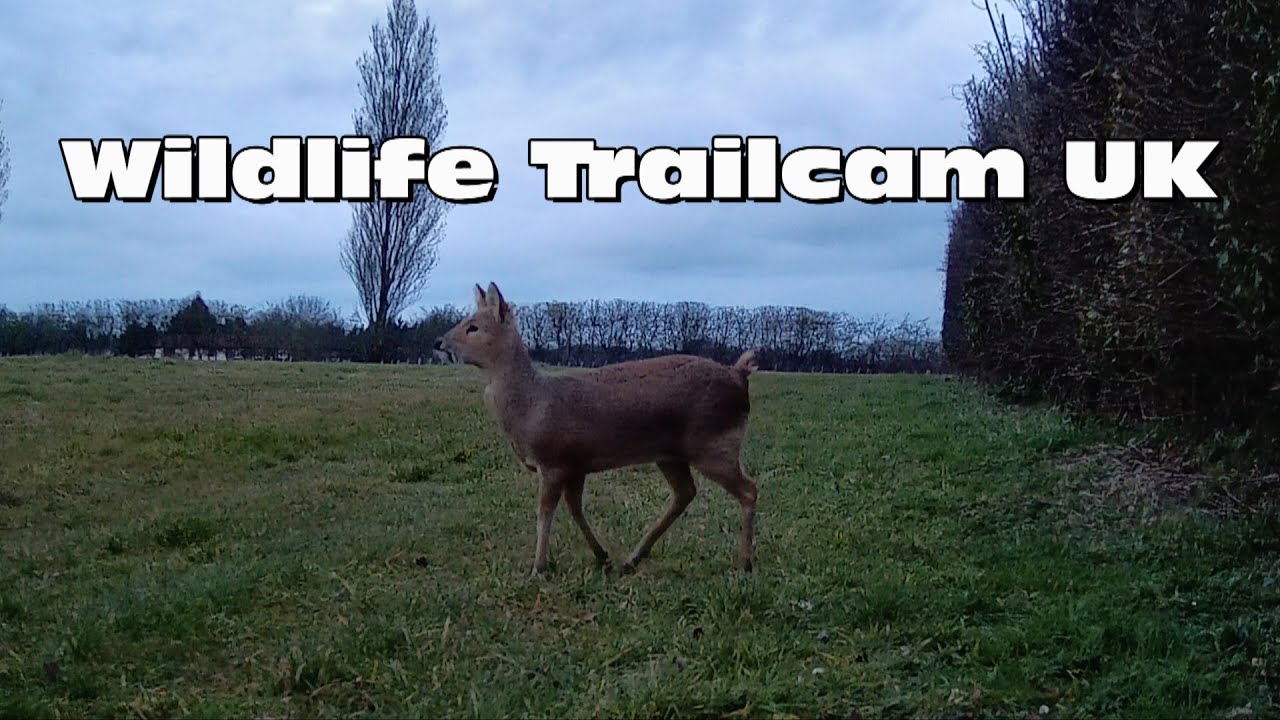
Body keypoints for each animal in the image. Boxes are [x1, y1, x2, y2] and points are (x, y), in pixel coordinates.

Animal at [434, 282, 760, 578]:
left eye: (473, 327)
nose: (438, 343)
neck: (532, 407)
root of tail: (739, 375)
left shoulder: (553, 460)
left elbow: (544, 515)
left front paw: (538, 568)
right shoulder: (574, 464)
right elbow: (575, 509)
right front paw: (600, 555)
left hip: (713, 443)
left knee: (749, 489)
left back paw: (744, 563)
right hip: (671, 454)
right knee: (685, 493)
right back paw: (633, 558)